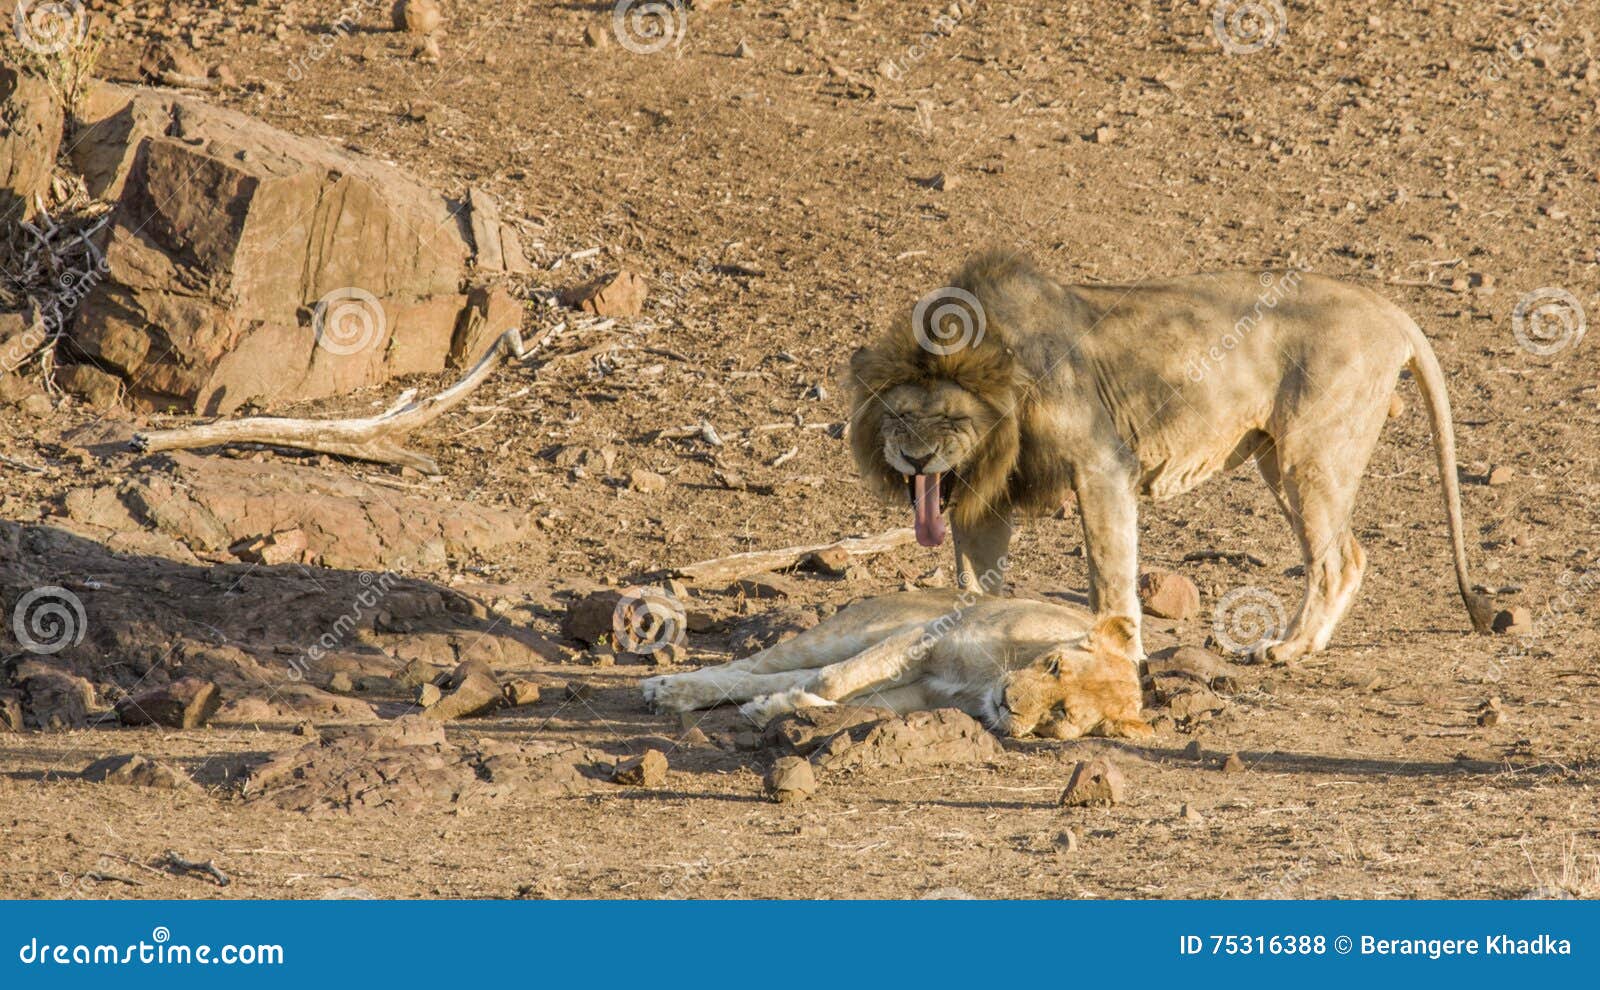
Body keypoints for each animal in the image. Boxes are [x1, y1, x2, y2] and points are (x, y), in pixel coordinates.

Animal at [641, 590, 1150, 740]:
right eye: (1055, 666)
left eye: (1060, 713)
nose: (1009, 702)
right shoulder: (927, 637)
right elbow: (831, 681)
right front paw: (776, 707)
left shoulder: (921, 694)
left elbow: (839, 698)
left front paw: (774, 708)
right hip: (851, 632)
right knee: (759, 663)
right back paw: (667, 688)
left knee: (780, 674)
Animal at [848, 252, 1494, 663]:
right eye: (896, 419)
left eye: (952, 420)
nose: (916, 459)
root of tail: (1390, 310)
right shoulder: (986, 499)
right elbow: (974, 586)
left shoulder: (1104, 464)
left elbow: (1109, 576)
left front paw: (1122, 655)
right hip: (1278, 459)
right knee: (1347, 552)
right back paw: (1305, 643)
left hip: (1310, 455)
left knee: (1337, 559)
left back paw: (1286, 648)